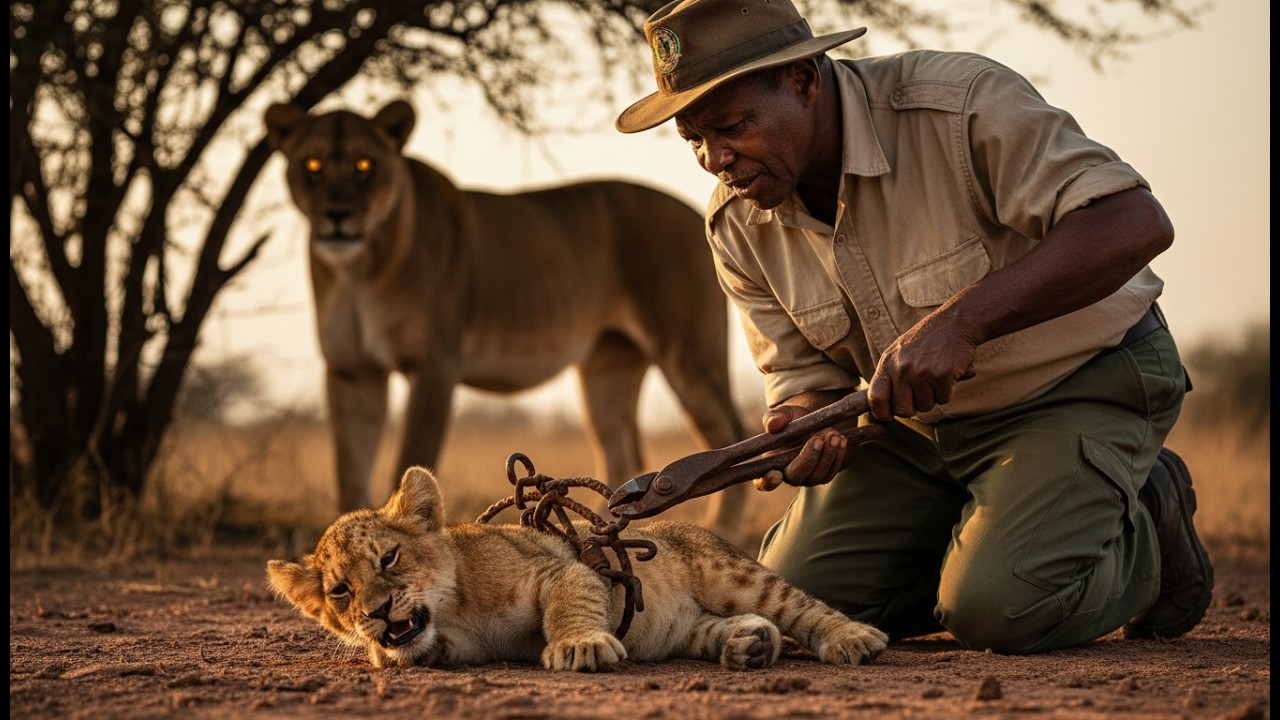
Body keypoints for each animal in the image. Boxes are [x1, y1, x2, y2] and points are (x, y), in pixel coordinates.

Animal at [262, 99, 749, 538]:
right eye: (311, 164)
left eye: (365, 164)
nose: (337, 214)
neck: (358, 268)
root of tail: (689, 210)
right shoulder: (352, 370)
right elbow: (349, 468)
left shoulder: (435, 365)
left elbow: (410, 456)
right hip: (608, 368)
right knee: (621, 456)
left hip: (690, 355)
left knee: (730, 434)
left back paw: (723, 528)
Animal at [267, 466, 889, 671]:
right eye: (341, 591)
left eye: (389, 557)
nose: (374, 612)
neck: (455, 610)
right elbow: (404, 653)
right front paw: (382, 647)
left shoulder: (559, 570)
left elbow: (572, 604)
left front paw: (580, 647)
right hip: (682, 628)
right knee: (716, 629)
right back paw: (749, 646)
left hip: (732, 575)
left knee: (799, 605)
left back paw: (853, 639)